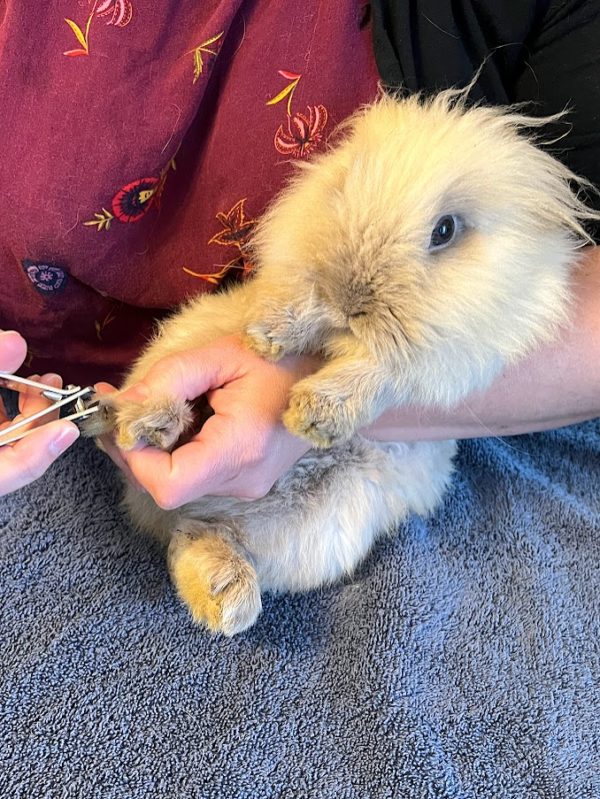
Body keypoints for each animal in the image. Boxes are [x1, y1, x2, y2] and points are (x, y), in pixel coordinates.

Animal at [85, 88, 599, 636]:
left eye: (445, 229)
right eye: (342, 187)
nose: (350, 296)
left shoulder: (450, 357)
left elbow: (386, 371)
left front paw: (314, 414)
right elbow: (299, 298)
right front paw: (269, 334)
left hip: (319, 531)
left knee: (195, 535)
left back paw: (225, 602)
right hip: (182, 342)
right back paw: (141, 421)